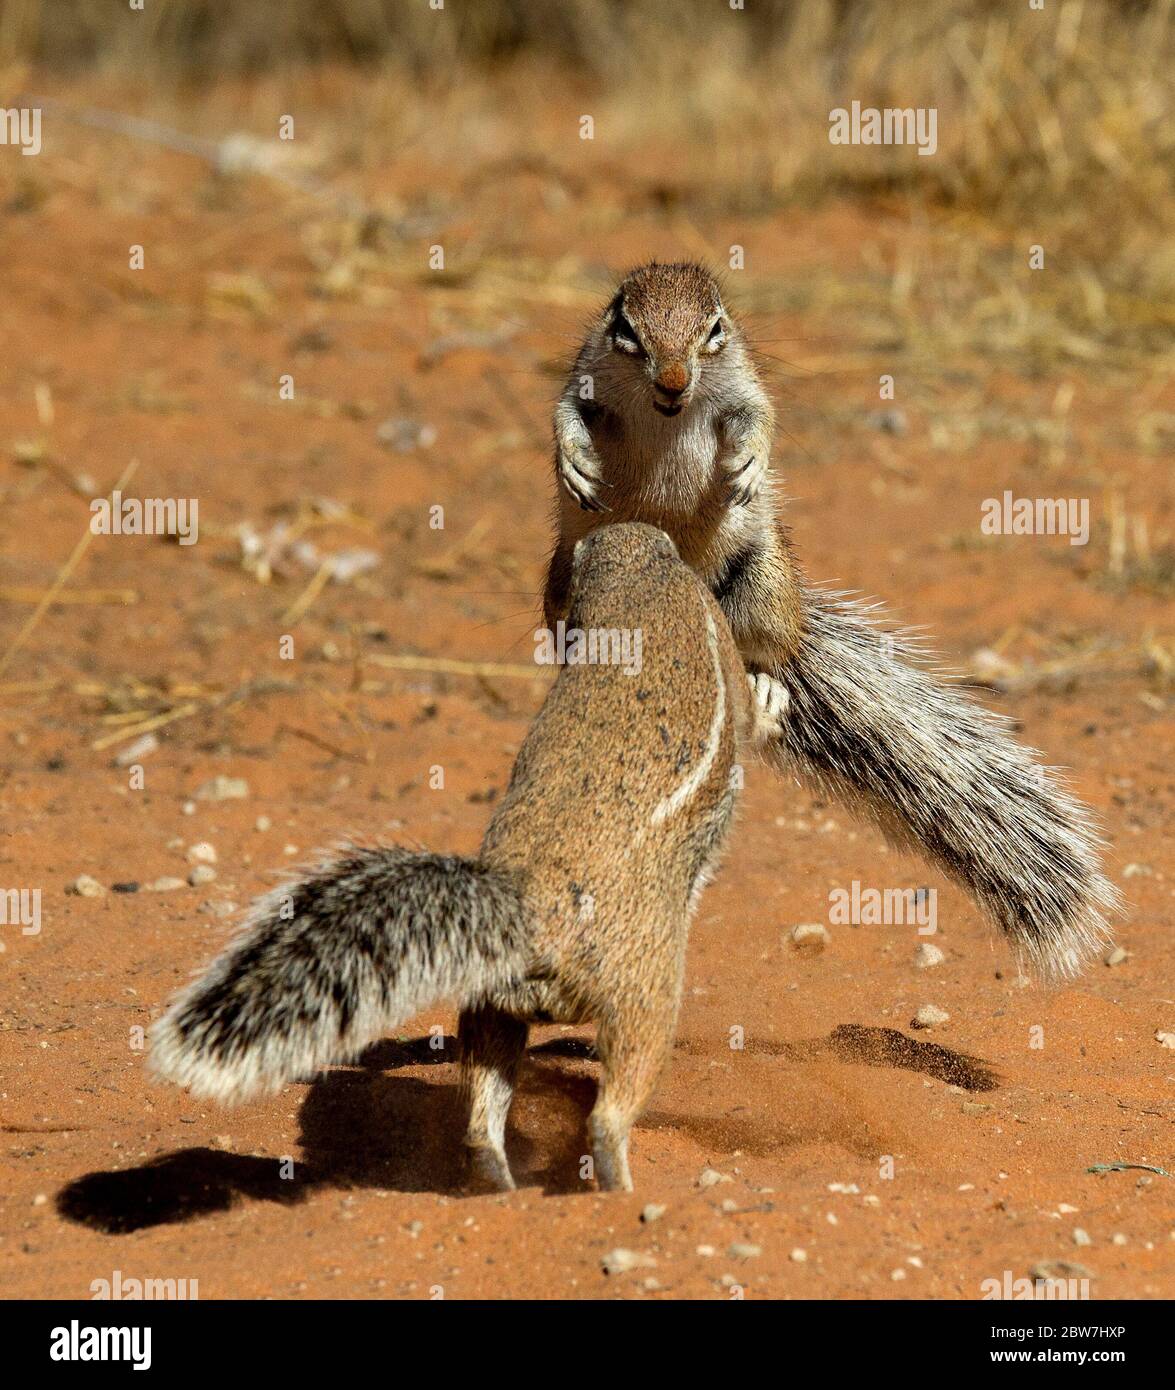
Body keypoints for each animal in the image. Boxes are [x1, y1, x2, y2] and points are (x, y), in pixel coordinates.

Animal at [151, 522, 784, 1195]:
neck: (636, 580)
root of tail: (524, 905)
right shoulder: (716, 641)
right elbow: (747, 707)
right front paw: (770, 694)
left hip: (488, 1001)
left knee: (482, 1108)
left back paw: (499, 1186)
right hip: (645, 988)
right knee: (614, 1101)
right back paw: (615, 1186)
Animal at [542, 262, 1117, 978]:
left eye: (715, 328)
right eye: (626, 326)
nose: (673, 382)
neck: (661, 411)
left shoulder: (743, 386)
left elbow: (760, 417)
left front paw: (749, 465)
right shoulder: (585, 376)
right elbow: (566, 414)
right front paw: (575, 462)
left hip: (761, 586)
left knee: (770, 660)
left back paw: (764, 684)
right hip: (564, 582)